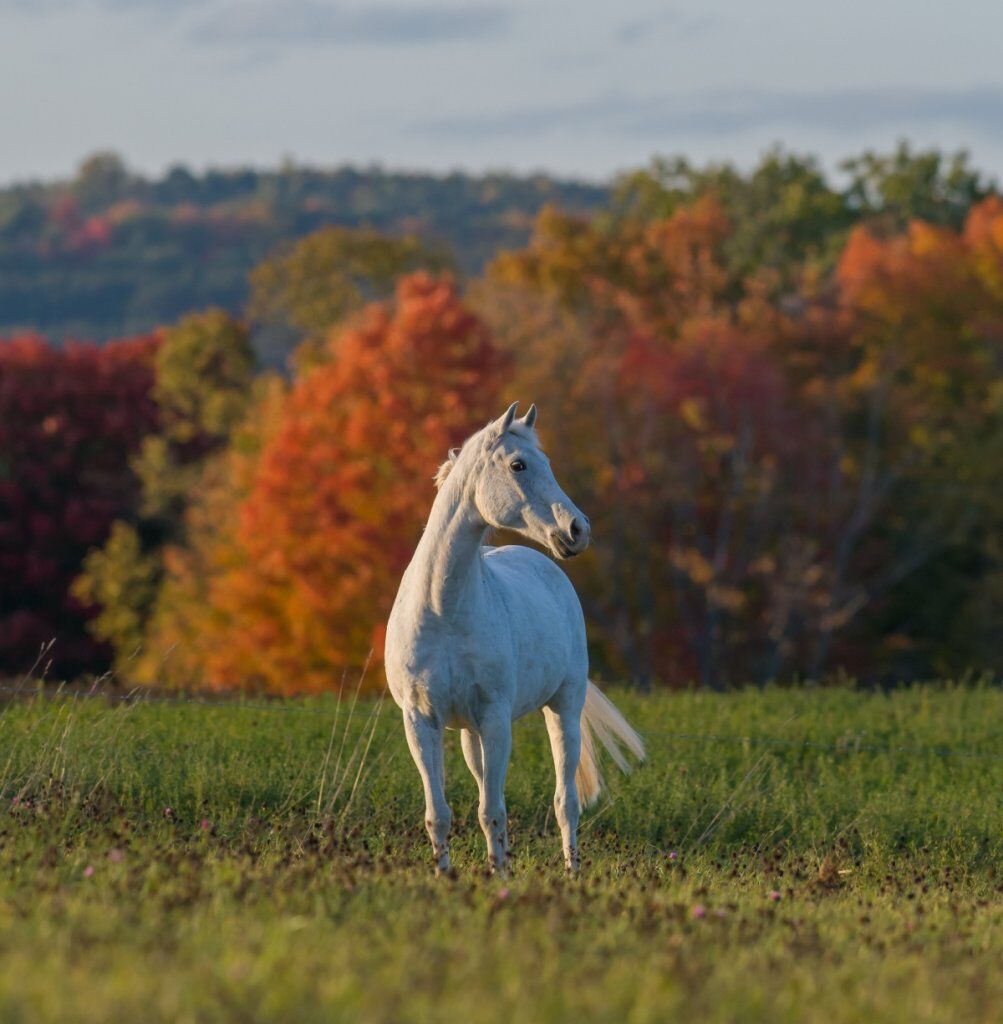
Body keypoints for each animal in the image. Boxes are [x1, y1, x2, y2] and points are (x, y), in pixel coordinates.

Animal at [385, 401, 645, 874]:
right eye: (518, 464)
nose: (578, 529)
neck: (441, 610)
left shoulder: (496, 718)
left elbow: (492, 811)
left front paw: (499, 877)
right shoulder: (420, 720)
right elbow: (439, 814)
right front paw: (447, 876)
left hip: (563, 707)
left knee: (566, 802)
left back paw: (572, 872)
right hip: (469, 734)